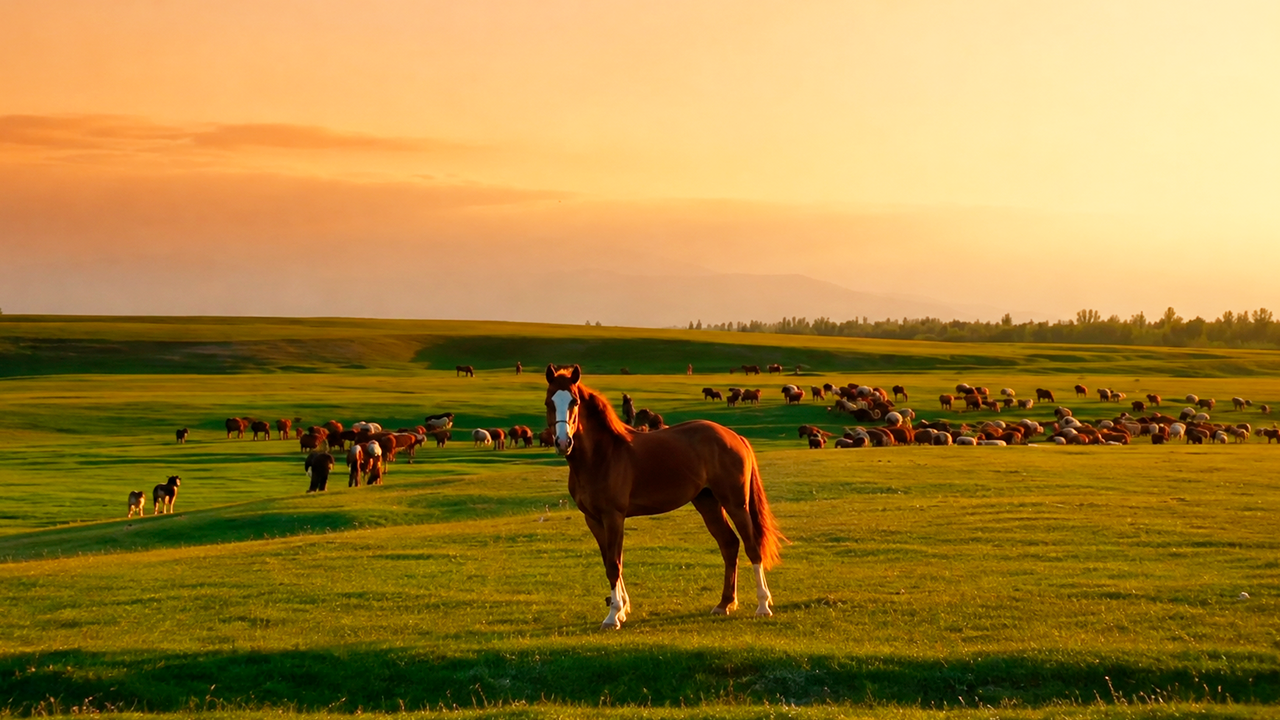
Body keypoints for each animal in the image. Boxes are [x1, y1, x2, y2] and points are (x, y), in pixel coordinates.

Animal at [545, 364, 784, 629]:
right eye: (549, 402)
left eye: (574, 402)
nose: (563, 442)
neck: (602, 455)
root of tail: (734, 436)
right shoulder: (594, 520)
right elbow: (610, 561)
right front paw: (621, 609)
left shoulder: (613, 517)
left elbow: (614, 564)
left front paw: (613, 615)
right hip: (708, 502)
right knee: (729, 545)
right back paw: (724, 604)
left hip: (736, 503)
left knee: (752, 546)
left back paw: (763, 606)